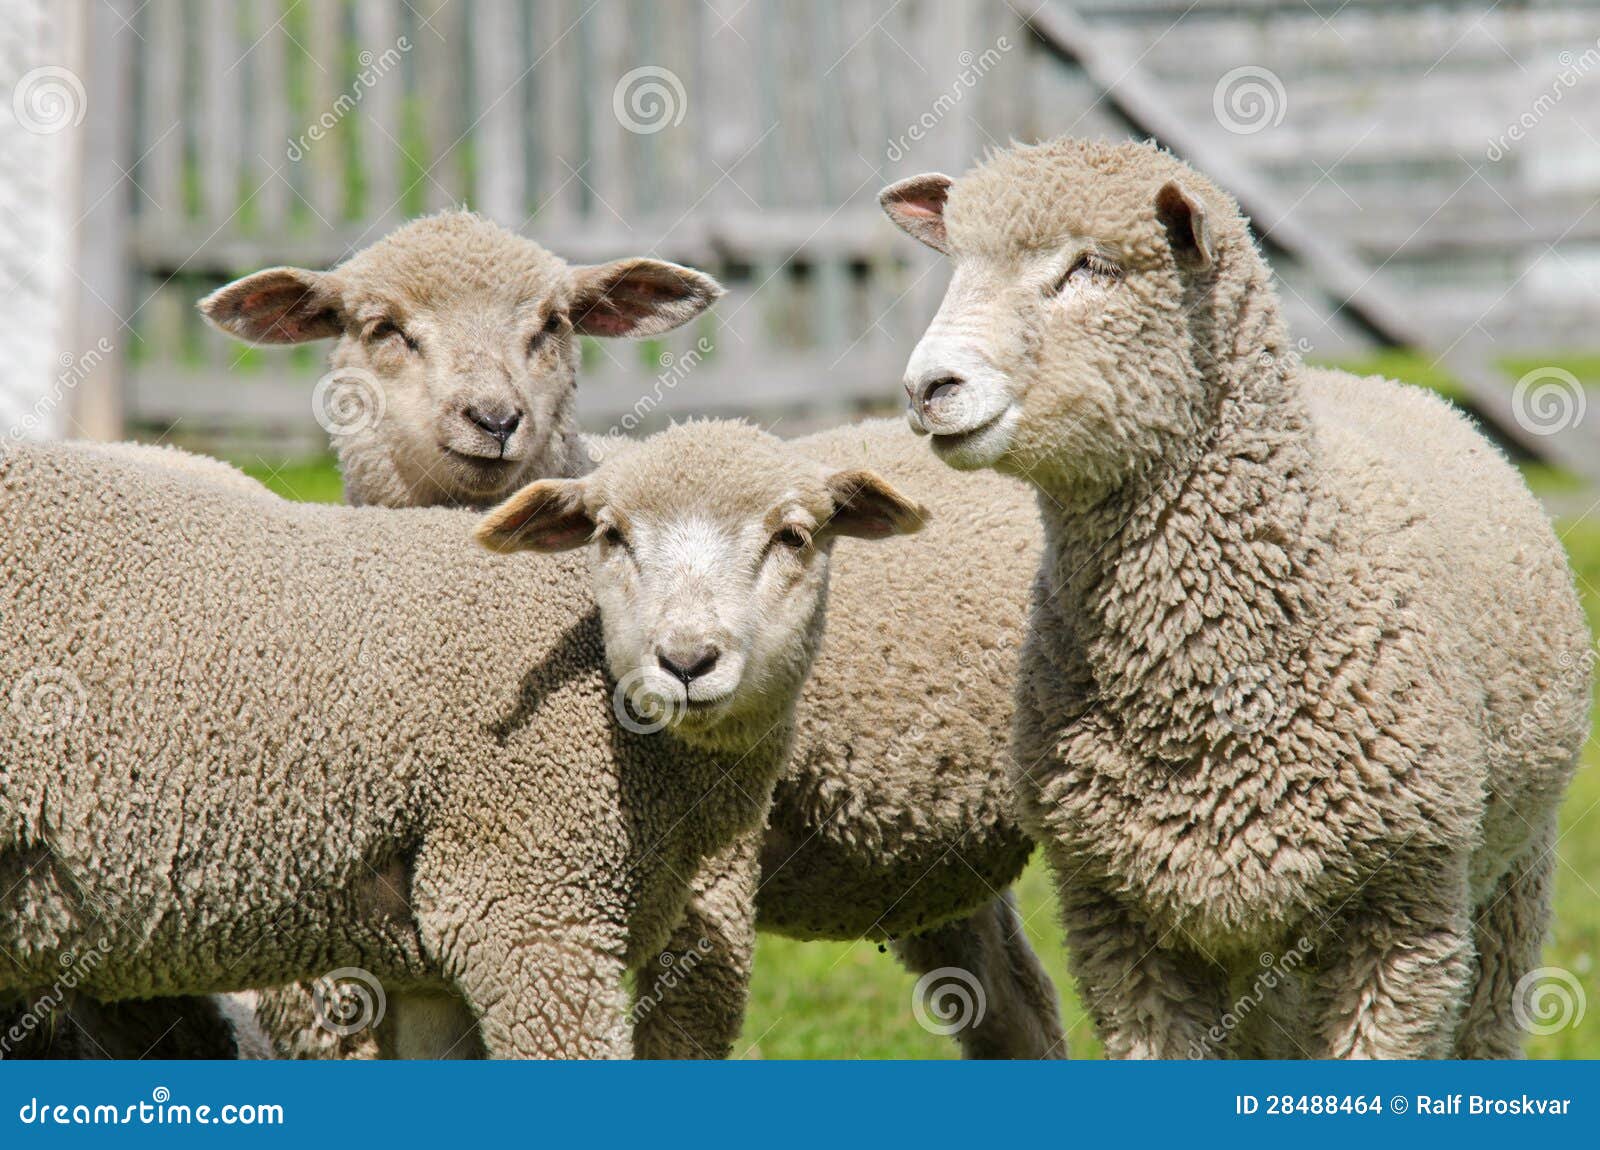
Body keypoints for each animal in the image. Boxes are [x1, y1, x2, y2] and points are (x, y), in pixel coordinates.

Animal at [881, 136, 1592, 1059]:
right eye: (956, 264)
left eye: (1092, 267)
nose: (927, 388)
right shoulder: (1120, 918)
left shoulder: (1405, 910)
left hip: (1513, 872)